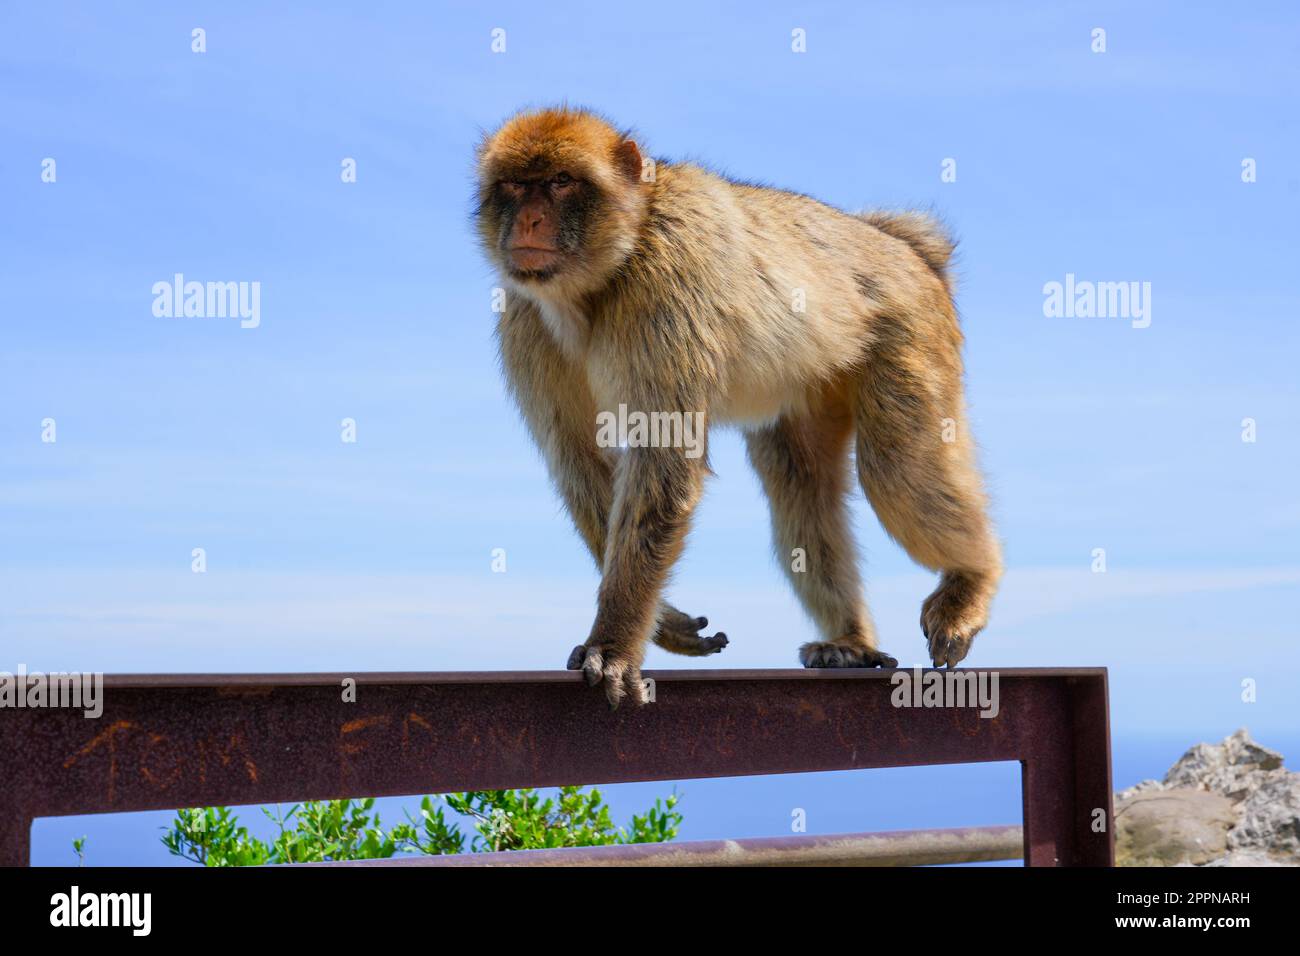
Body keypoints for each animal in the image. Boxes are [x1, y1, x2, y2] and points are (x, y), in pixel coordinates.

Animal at [474, 107, 1002, 708]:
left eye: (561, 182)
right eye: (515, 185)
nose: (529, 221)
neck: (600, 280)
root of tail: (907, 249)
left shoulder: (669, 281)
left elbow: (662, 467)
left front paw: (615, 642)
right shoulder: (525, 320)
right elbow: (581, 463)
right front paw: (663, 622)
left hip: (913, 330)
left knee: (897, 471)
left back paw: (973, 580)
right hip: (811, 386)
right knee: (800, 486)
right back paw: (851, 639)